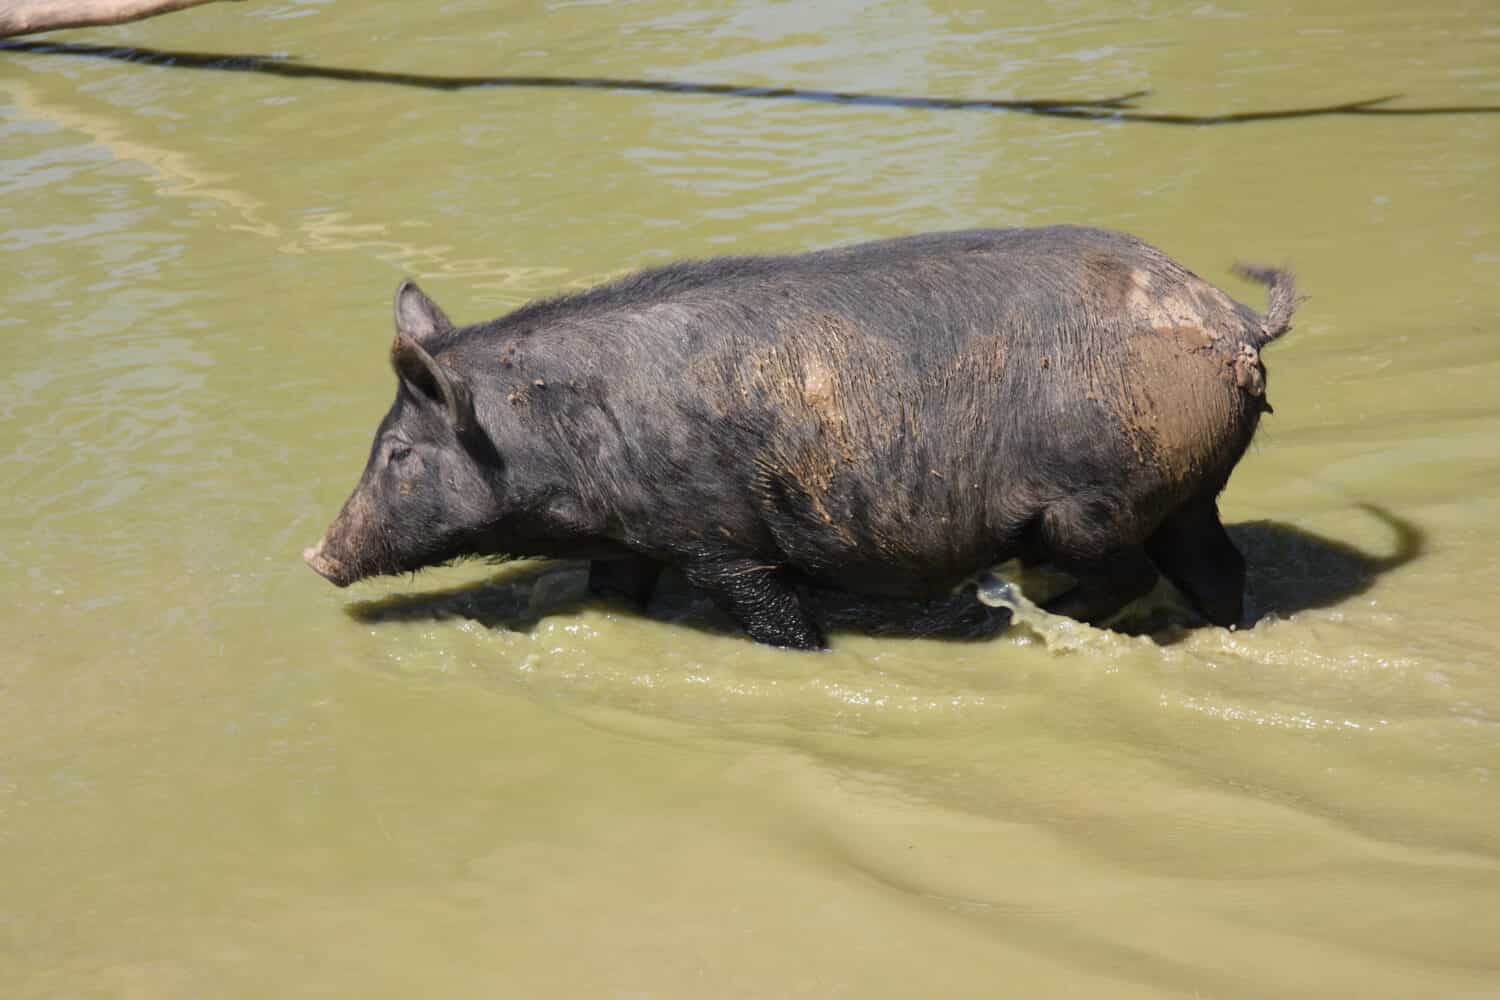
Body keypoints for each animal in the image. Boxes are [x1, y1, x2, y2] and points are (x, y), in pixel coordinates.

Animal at [304, 226, 1296, 649]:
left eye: (397, 453)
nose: (316, 556)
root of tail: (1234, 321)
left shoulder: (720, 542)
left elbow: (778, 622)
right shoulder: (635, 538)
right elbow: (613, 591)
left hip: (1093, 501)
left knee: (1125, 571)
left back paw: (1006, 619)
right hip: (1188, 489)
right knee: (1220, 568)